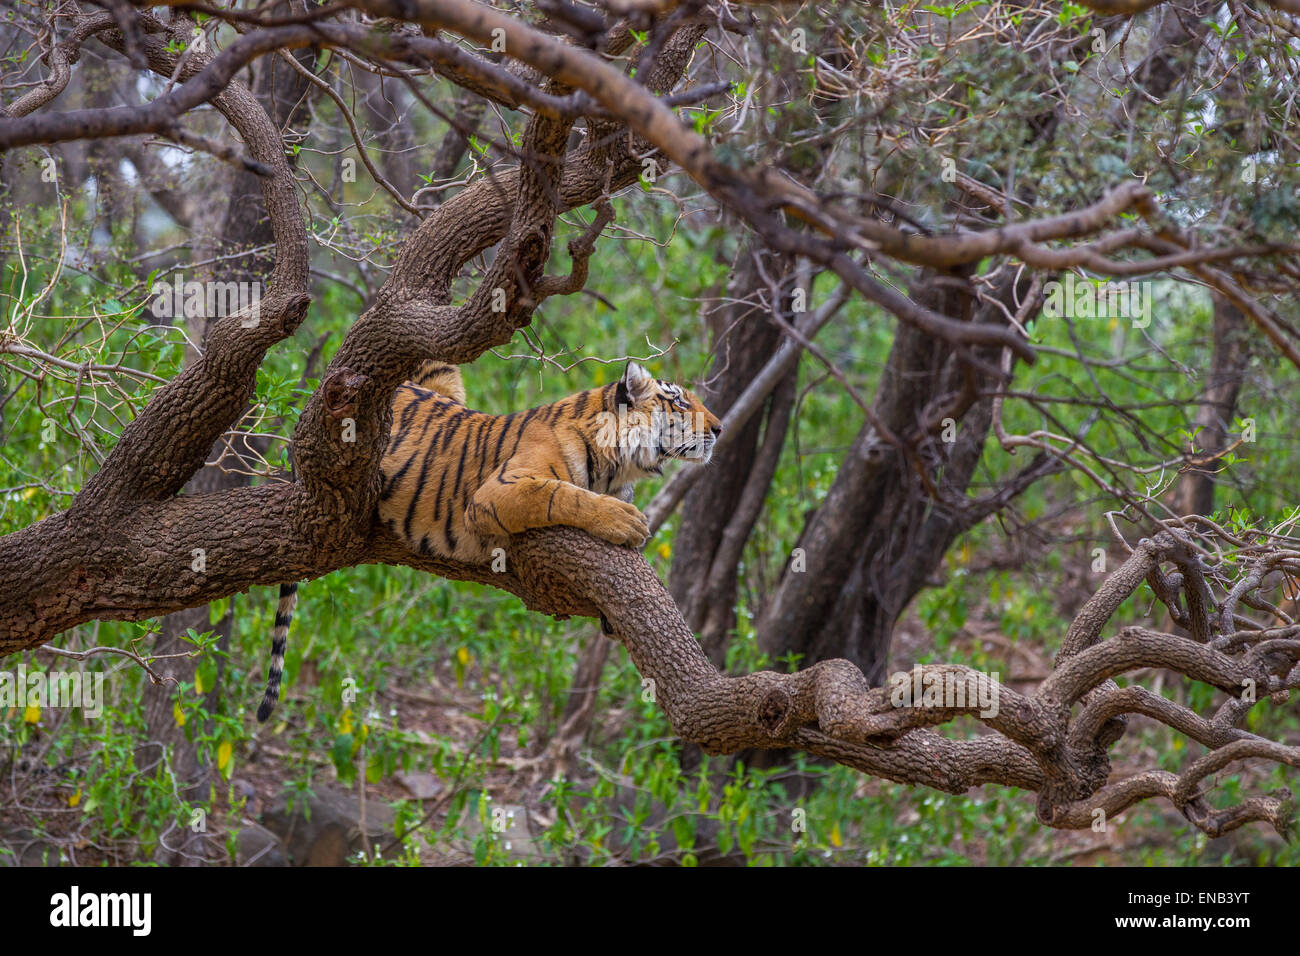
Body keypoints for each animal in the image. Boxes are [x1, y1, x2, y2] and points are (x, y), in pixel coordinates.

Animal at [256, 360, 722, 722]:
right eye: (680, 402)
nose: (720, 428)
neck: (619, 467)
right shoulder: (497, 492)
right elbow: (561, 494)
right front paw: (625, 521)